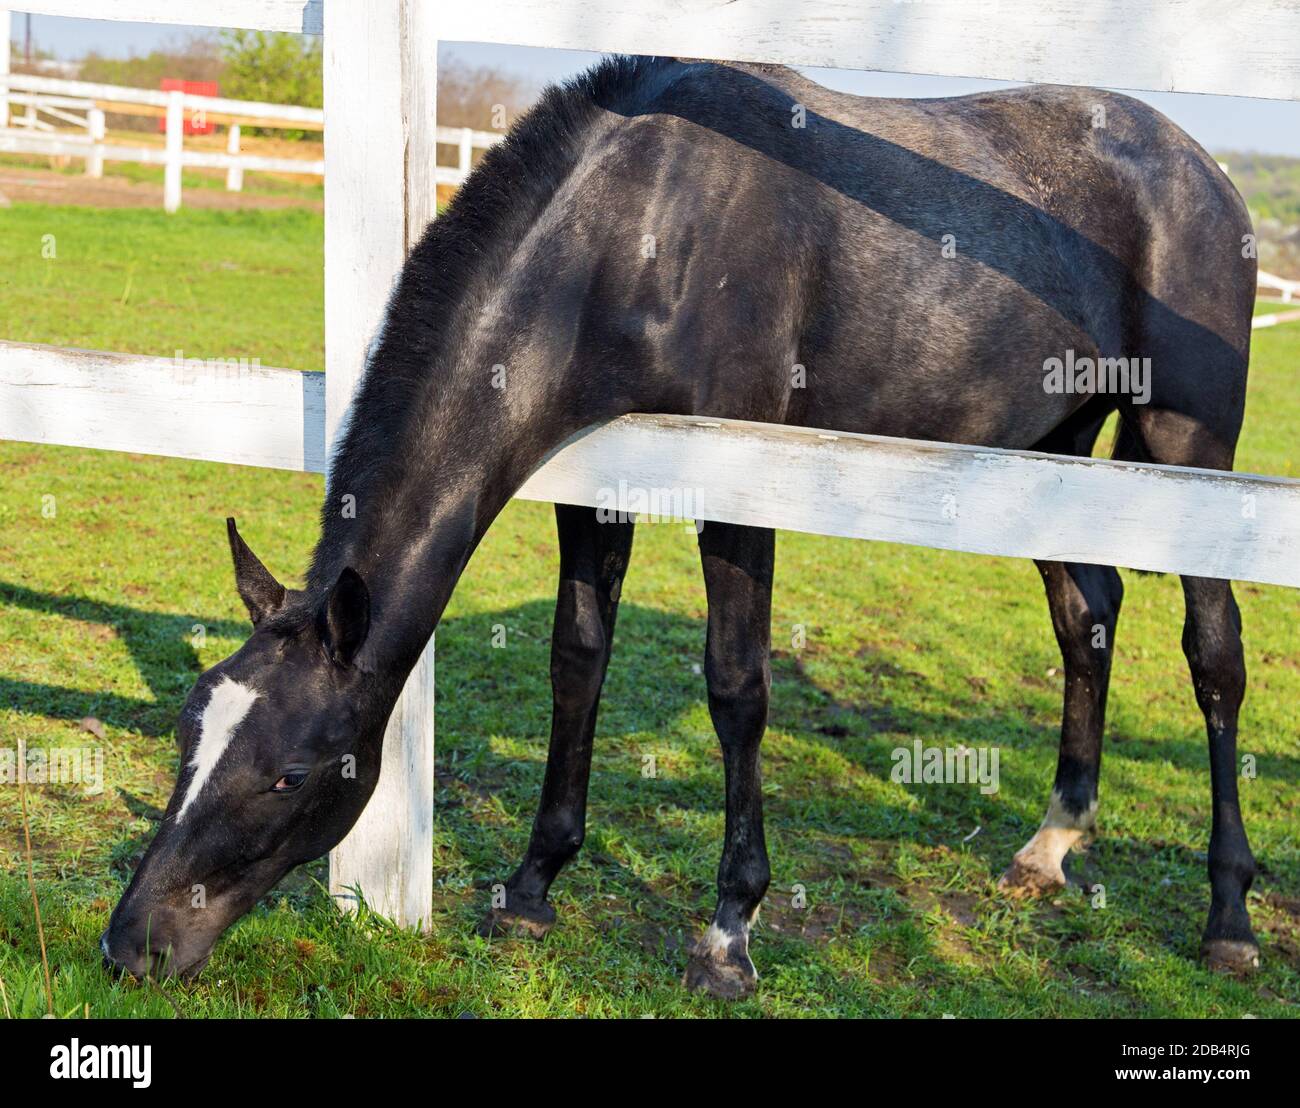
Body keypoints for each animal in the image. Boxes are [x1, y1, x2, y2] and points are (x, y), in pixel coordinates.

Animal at [101, 56, 1259, 998]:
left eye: (290, 774)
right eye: (189, 734)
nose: (129, 944)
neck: (637, 229)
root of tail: (1201, 168)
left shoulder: (737, 490)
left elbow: (736, 688)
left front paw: (728, 932)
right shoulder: (590, 485)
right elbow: (578, 659)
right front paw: (533, 884)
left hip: (1185, 453)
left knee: (1213, 654)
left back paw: (1229, 918)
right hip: (1050, 448)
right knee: (1087, 614)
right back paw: (1050, 843)